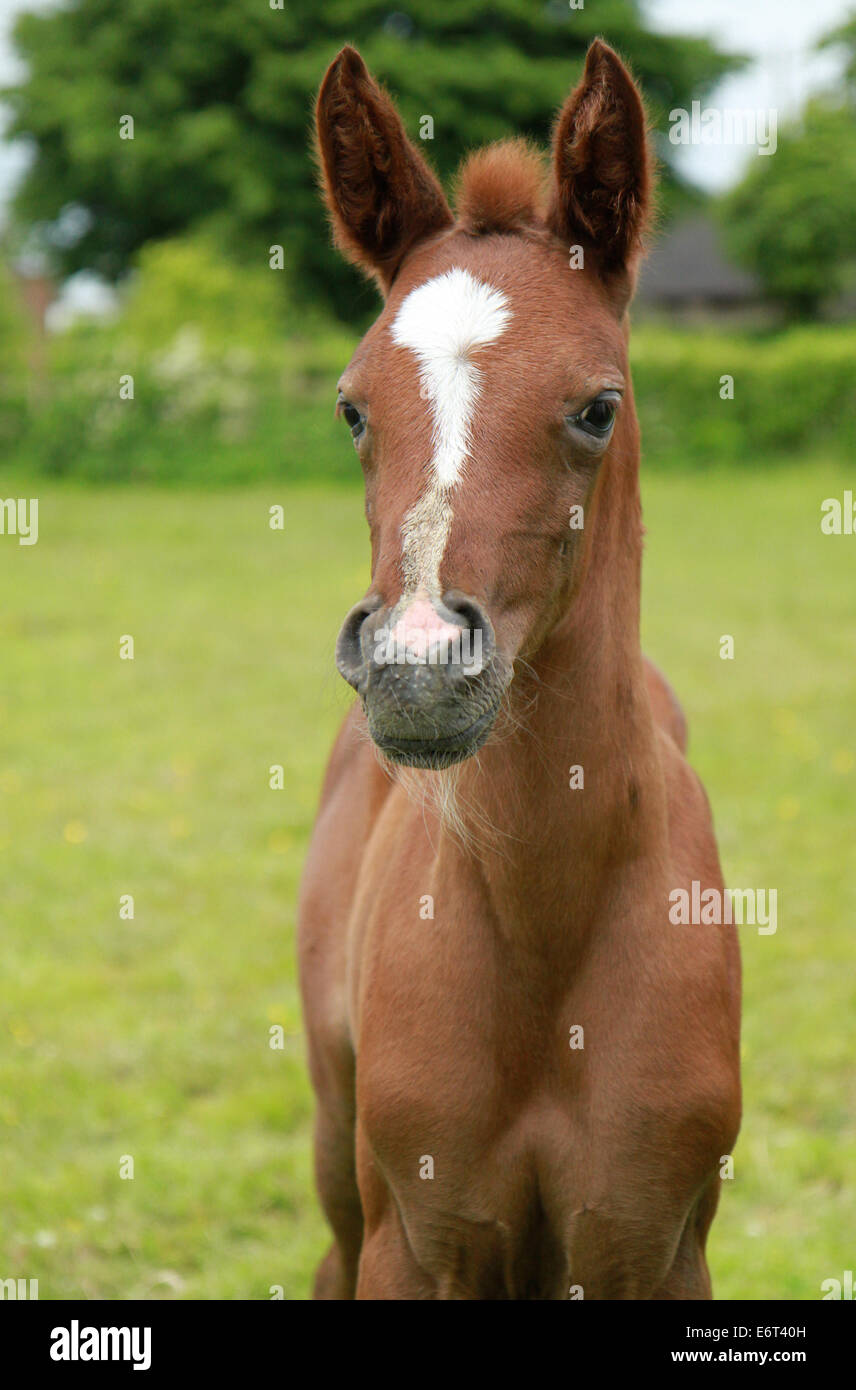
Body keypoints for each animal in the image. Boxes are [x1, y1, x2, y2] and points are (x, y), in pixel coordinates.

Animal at [298, 39, 741, 1300]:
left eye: (597, 405)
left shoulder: (654, 1242)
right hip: (336, 1145)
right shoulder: (413, 1240)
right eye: (350, 406)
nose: (416, 666)